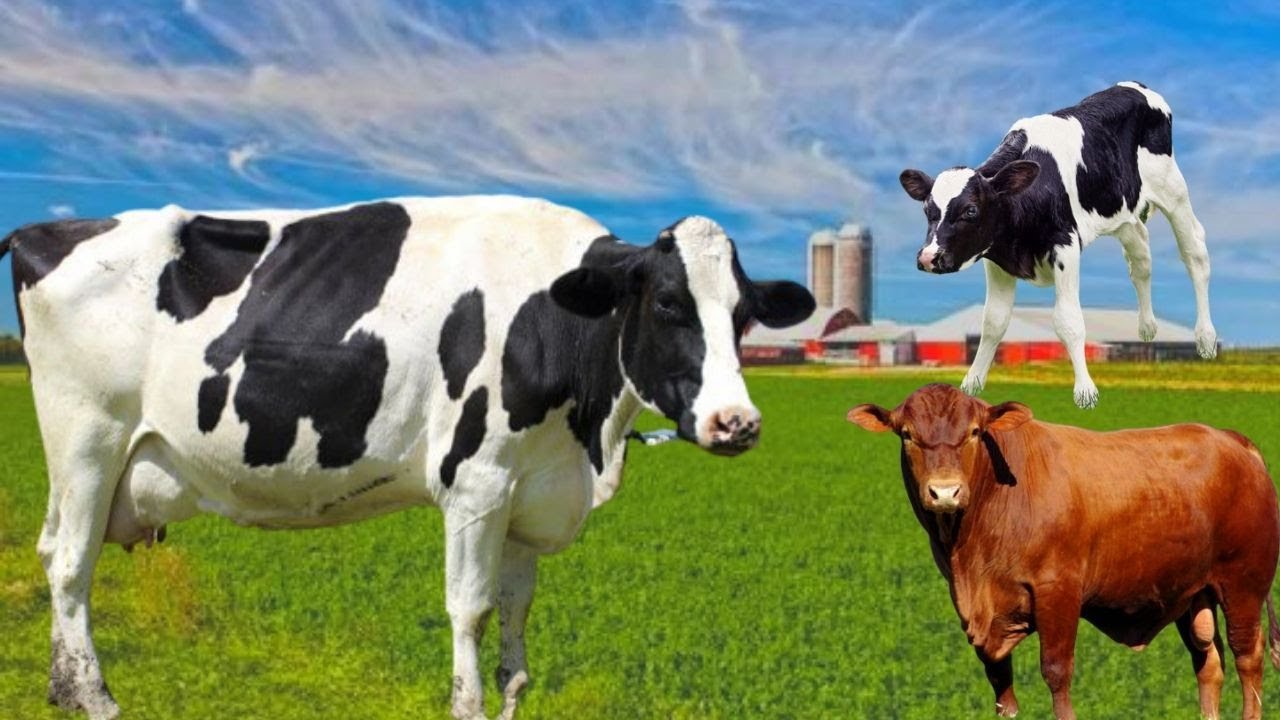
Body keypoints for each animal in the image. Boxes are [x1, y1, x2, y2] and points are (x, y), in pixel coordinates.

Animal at [0, 196, 816, 720]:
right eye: (670, 304)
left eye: (745, 314)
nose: (737, 422)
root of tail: (46, 229)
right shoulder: (477, 482)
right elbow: (471, 608)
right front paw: (468, 705)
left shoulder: (530, 494)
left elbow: (516, 618)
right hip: (88, 436)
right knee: (69, 564)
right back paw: (96, 697)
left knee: (50, 547)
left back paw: (61, 690)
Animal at [847, 383, 1279, 720]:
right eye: (906, 434)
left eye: (974, 432)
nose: (945, 491)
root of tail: (1231, 439)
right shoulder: (976, 610)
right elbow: (1001, 686)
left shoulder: (1058, 590)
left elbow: (1056, 672)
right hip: (1193, 594)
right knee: (1209, 663)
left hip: (1244, 584)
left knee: (1247, 656)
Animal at [898, 82, 1216, 409]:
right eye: (928, 210)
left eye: (970, 210)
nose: (928, 257)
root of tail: (1136, 86)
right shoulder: (996, 258)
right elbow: (993, 322)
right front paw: (971, 385)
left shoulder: (1066, 246)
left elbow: (1068, 321)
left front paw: (1085, 392)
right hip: (1123, 215)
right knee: (1140, 257)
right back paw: (1147, 327)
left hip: (1172, 189)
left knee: (1195, 253)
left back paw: (1205, 339)